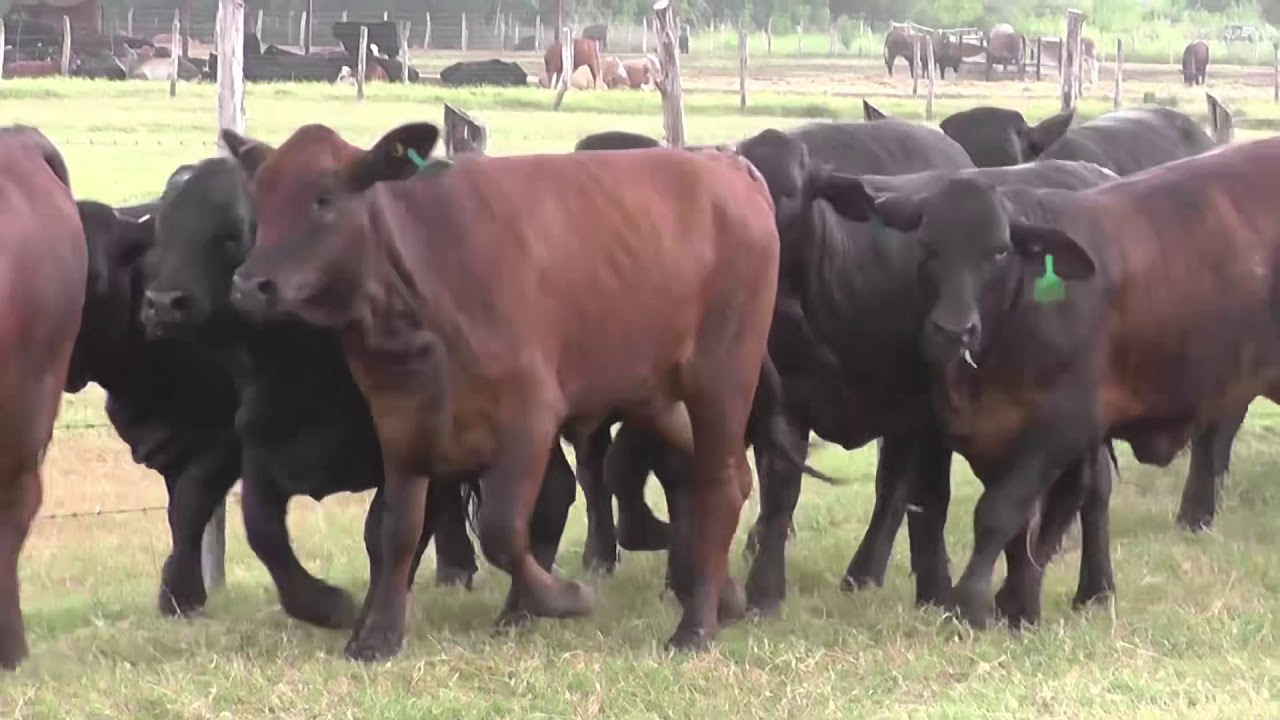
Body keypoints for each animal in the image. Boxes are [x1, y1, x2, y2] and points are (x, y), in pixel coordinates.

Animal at [135, 158, 516, 629]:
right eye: (163, 233)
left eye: (233, 234)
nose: (163, 303)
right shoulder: (260, 445)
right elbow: (262, 529)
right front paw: (325, 603)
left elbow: (385, 530)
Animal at [222, 123, 784, 659]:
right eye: (260, 199)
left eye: (324, 198)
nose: (250, 284)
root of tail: (726, 166)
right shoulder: (401, 426)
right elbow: (396, 530)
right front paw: (377, 637)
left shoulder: (528, 419)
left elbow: (502, 529)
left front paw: (563, 597)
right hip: (657, 394)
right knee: (728, 476)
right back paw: (726, 597)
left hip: (721, 378)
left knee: (715, 483)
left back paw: (695, 627)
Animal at [839, 135, 1280, 627]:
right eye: (928, 246)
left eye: (999, 250)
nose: (953, 331)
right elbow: (1025, 523)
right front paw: (1017, 606)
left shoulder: (1062, 428)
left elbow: (999, 513)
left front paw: (974, 603)